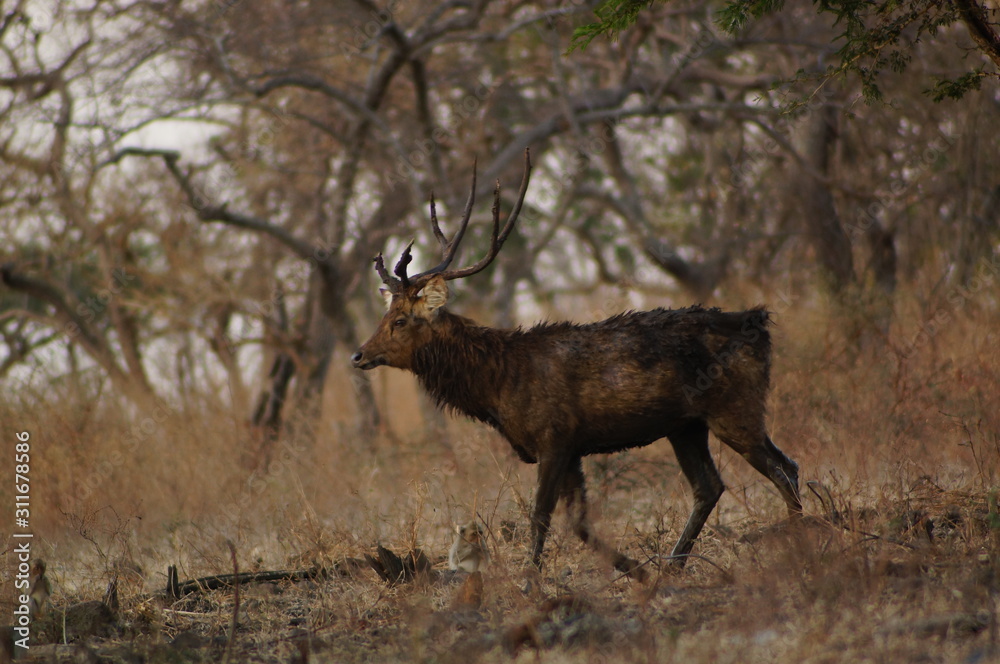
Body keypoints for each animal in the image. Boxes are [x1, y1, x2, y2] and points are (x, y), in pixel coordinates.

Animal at [351, 149, 802, 581]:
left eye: (400, 320)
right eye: (385, 313)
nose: (358, 354)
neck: (498, 386)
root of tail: (758, 322)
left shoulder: (554, 437)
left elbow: (541, 516)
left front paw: (529, 582)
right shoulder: (571, 448)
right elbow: (580, 523)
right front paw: (638, 573)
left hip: (735, 407)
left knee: (782, 468)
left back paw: (801, 540)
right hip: (686, 425)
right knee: (714, 485)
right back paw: (675, 565)